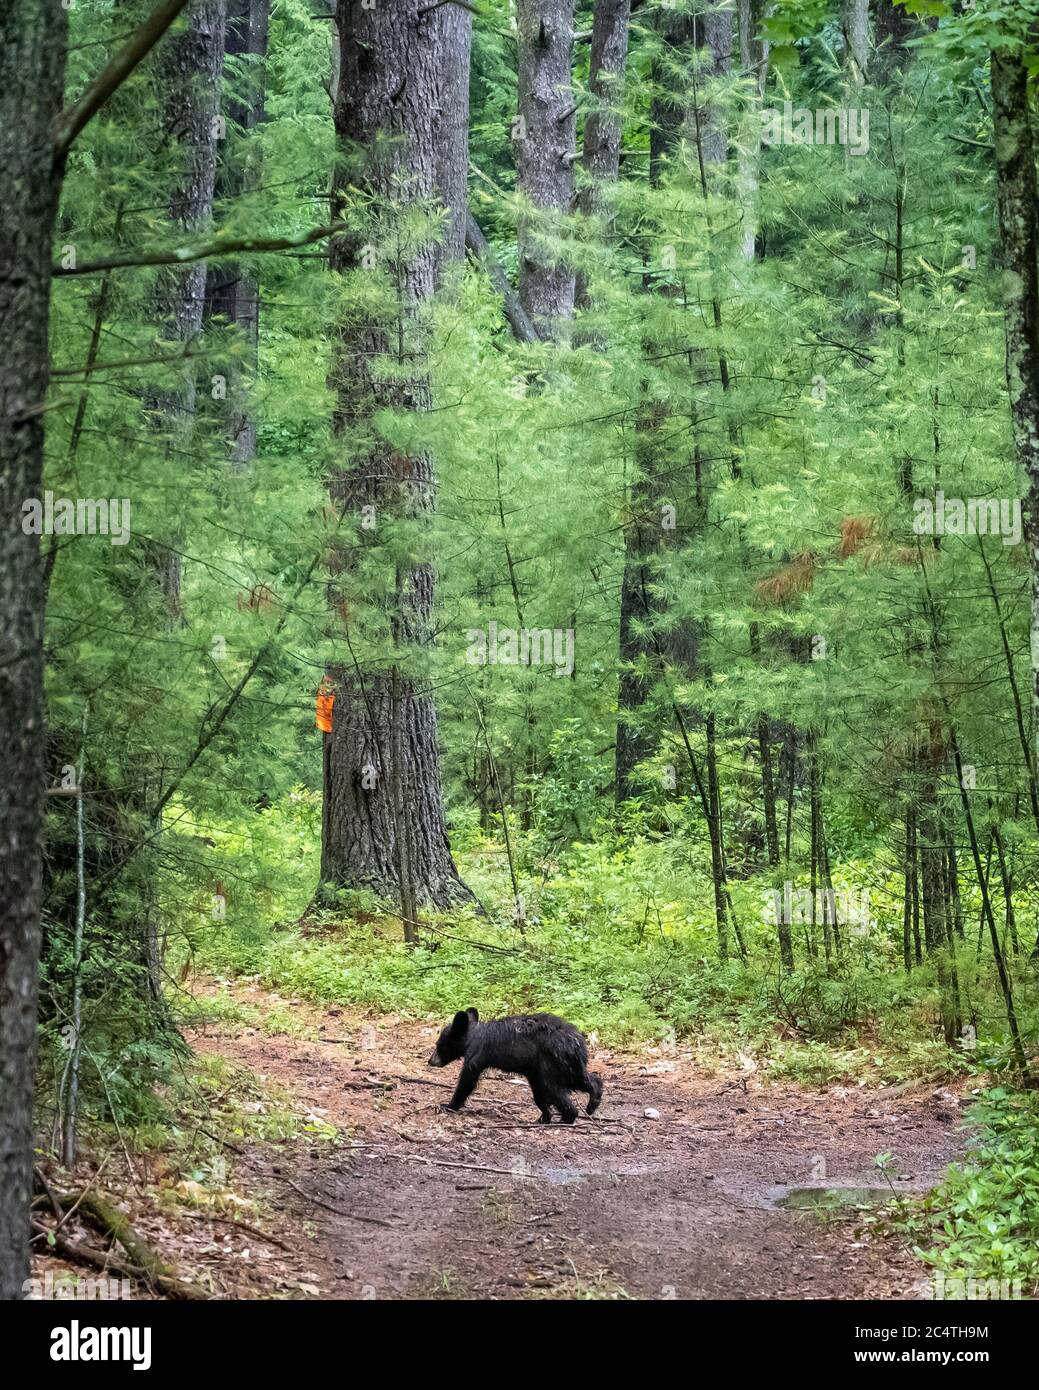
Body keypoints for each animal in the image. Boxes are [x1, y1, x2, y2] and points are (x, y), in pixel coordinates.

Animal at [428, 1008, 603, 1124]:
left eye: (439, 1044)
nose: (430, 1061)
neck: (473, 1036)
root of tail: (577, 1043)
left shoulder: (476, 1055)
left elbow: (467, 1081)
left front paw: (449, 1105)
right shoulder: (533, 1071)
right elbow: (539, 1096)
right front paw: (544, 1116)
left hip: (554, 1064)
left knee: (556, 1089)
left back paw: (567, 1118)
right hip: (568, 1065)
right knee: (582, 1079)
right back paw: (592, 1100)